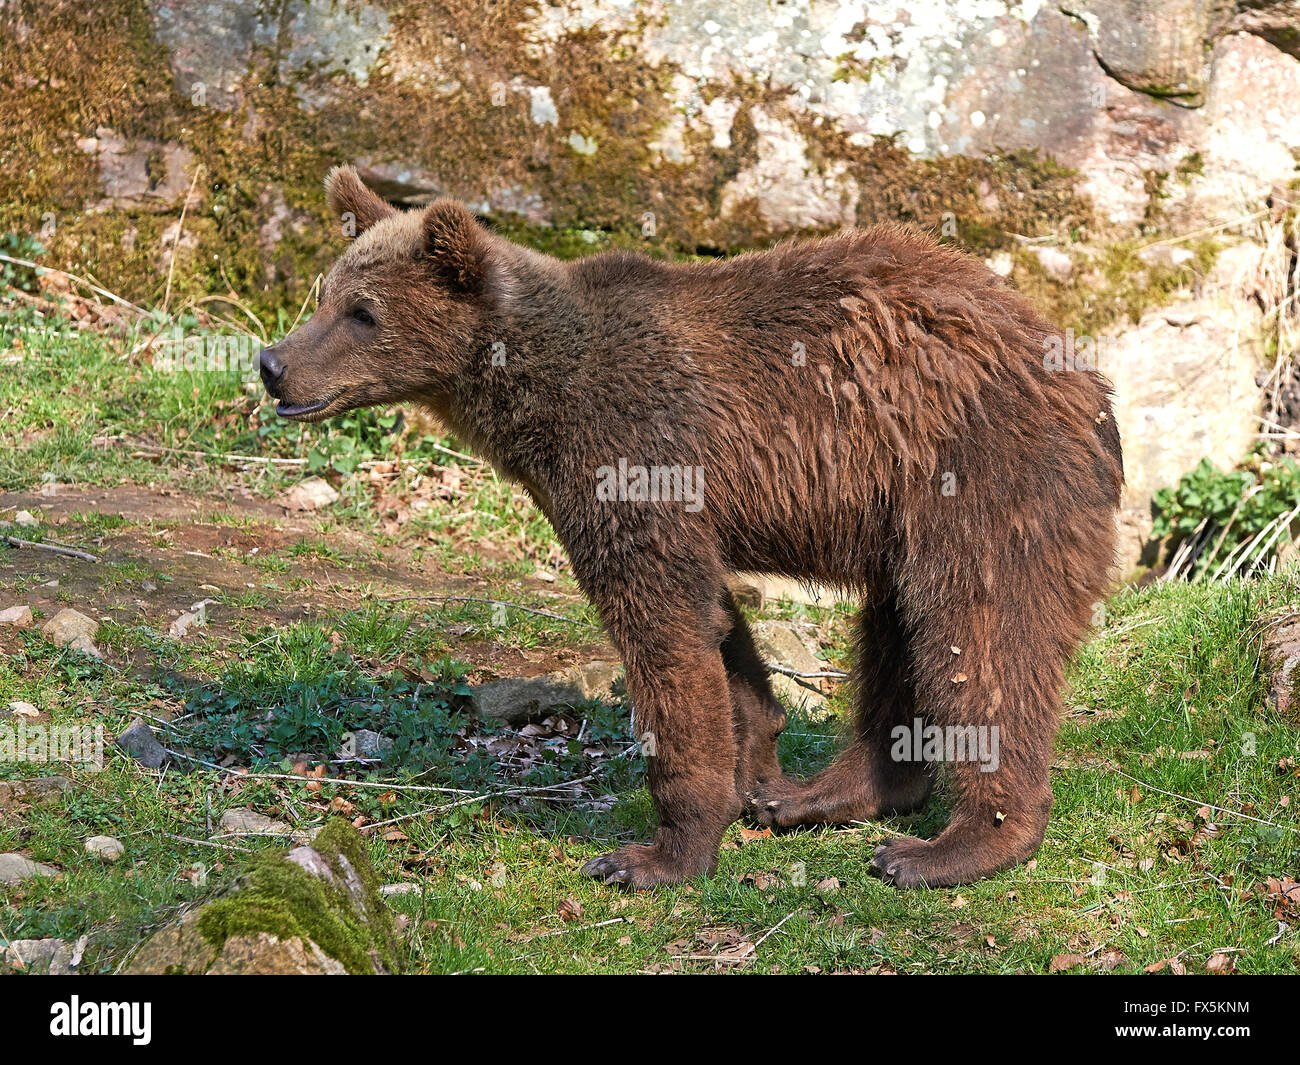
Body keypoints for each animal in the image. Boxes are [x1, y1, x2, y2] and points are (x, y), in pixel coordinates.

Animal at [258, 166, 1123, 890]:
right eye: (327, 293)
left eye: (363, 313)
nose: (272, 362)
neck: (535, 400)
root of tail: (1084, 375)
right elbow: (716, 629)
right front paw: (754, 768)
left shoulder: (631, 454)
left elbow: (664, 629)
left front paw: (653, 854)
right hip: (902, 511)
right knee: (897, 629)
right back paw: (826, 793)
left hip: (977, 474)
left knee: (979, 632)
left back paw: (951, 845)